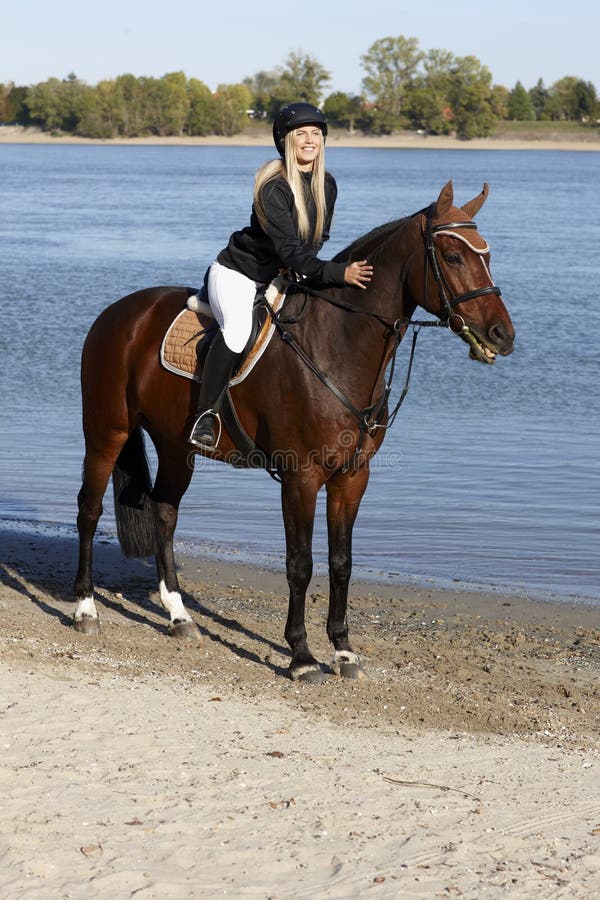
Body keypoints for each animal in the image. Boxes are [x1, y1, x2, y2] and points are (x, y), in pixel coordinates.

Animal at [73, 181, 515, 683]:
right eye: (453, 257)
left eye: (487, 254)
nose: (503, 335)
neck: (338, 345)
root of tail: (117, 313)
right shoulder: (301, 477)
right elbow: (300, 564)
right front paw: (301, 656)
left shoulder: (351, 478)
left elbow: (341, 563)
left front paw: (343, 651)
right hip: (107, 431)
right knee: (89, 509)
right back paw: (86, 609)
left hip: (174, 446)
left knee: (164, 513)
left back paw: (179, 617)